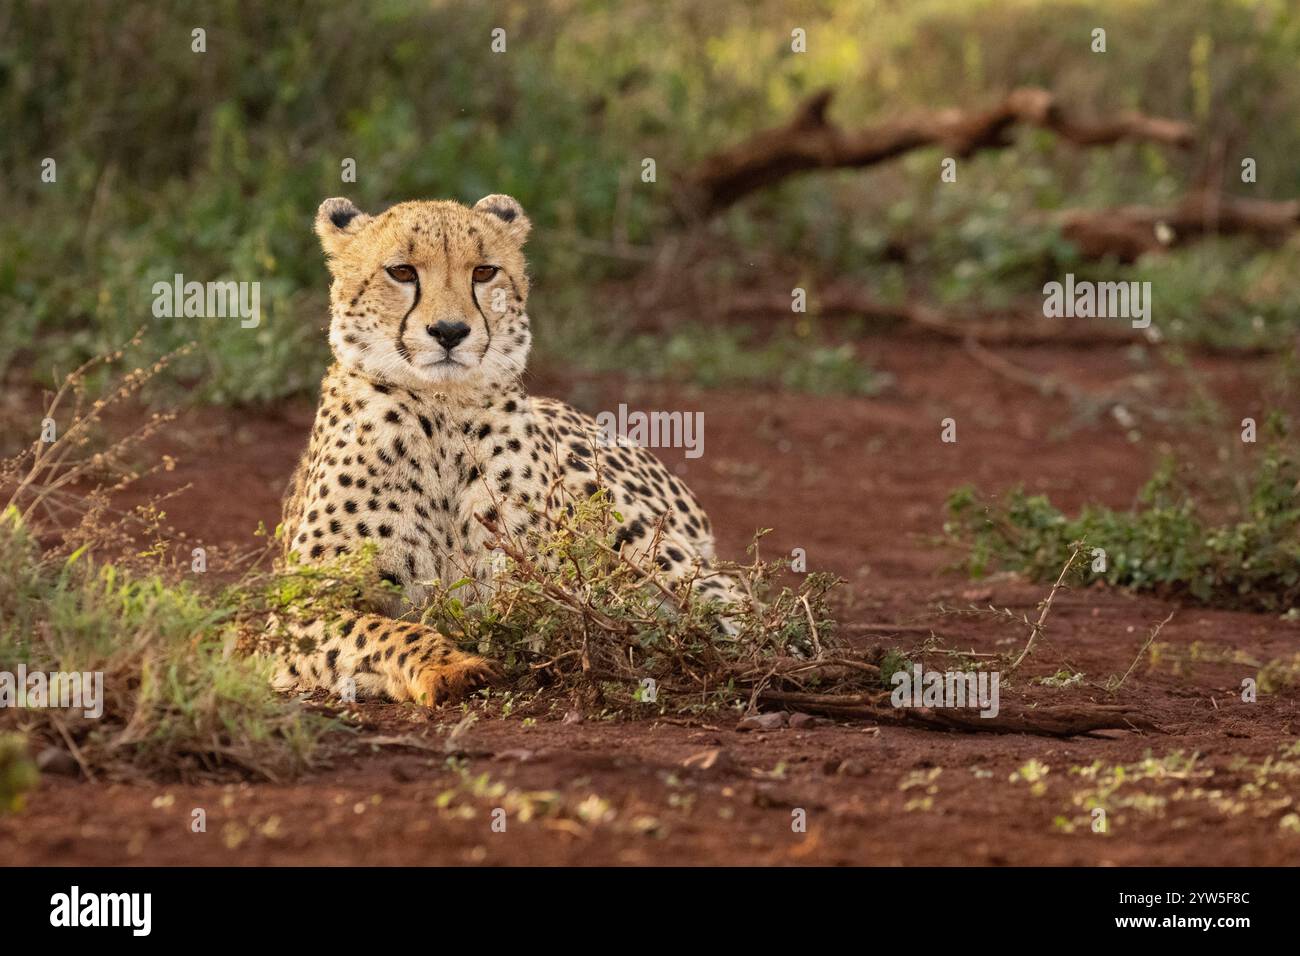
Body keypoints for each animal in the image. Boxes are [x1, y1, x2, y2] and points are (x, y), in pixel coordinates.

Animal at [273, 193, 734, 706]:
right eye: (402, 271)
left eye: (484, 271)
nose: (449, 331)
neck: (440, 413)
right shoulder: (299, 611)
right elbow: (385, 630)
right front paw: (450, 666)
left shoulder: (541, 583)